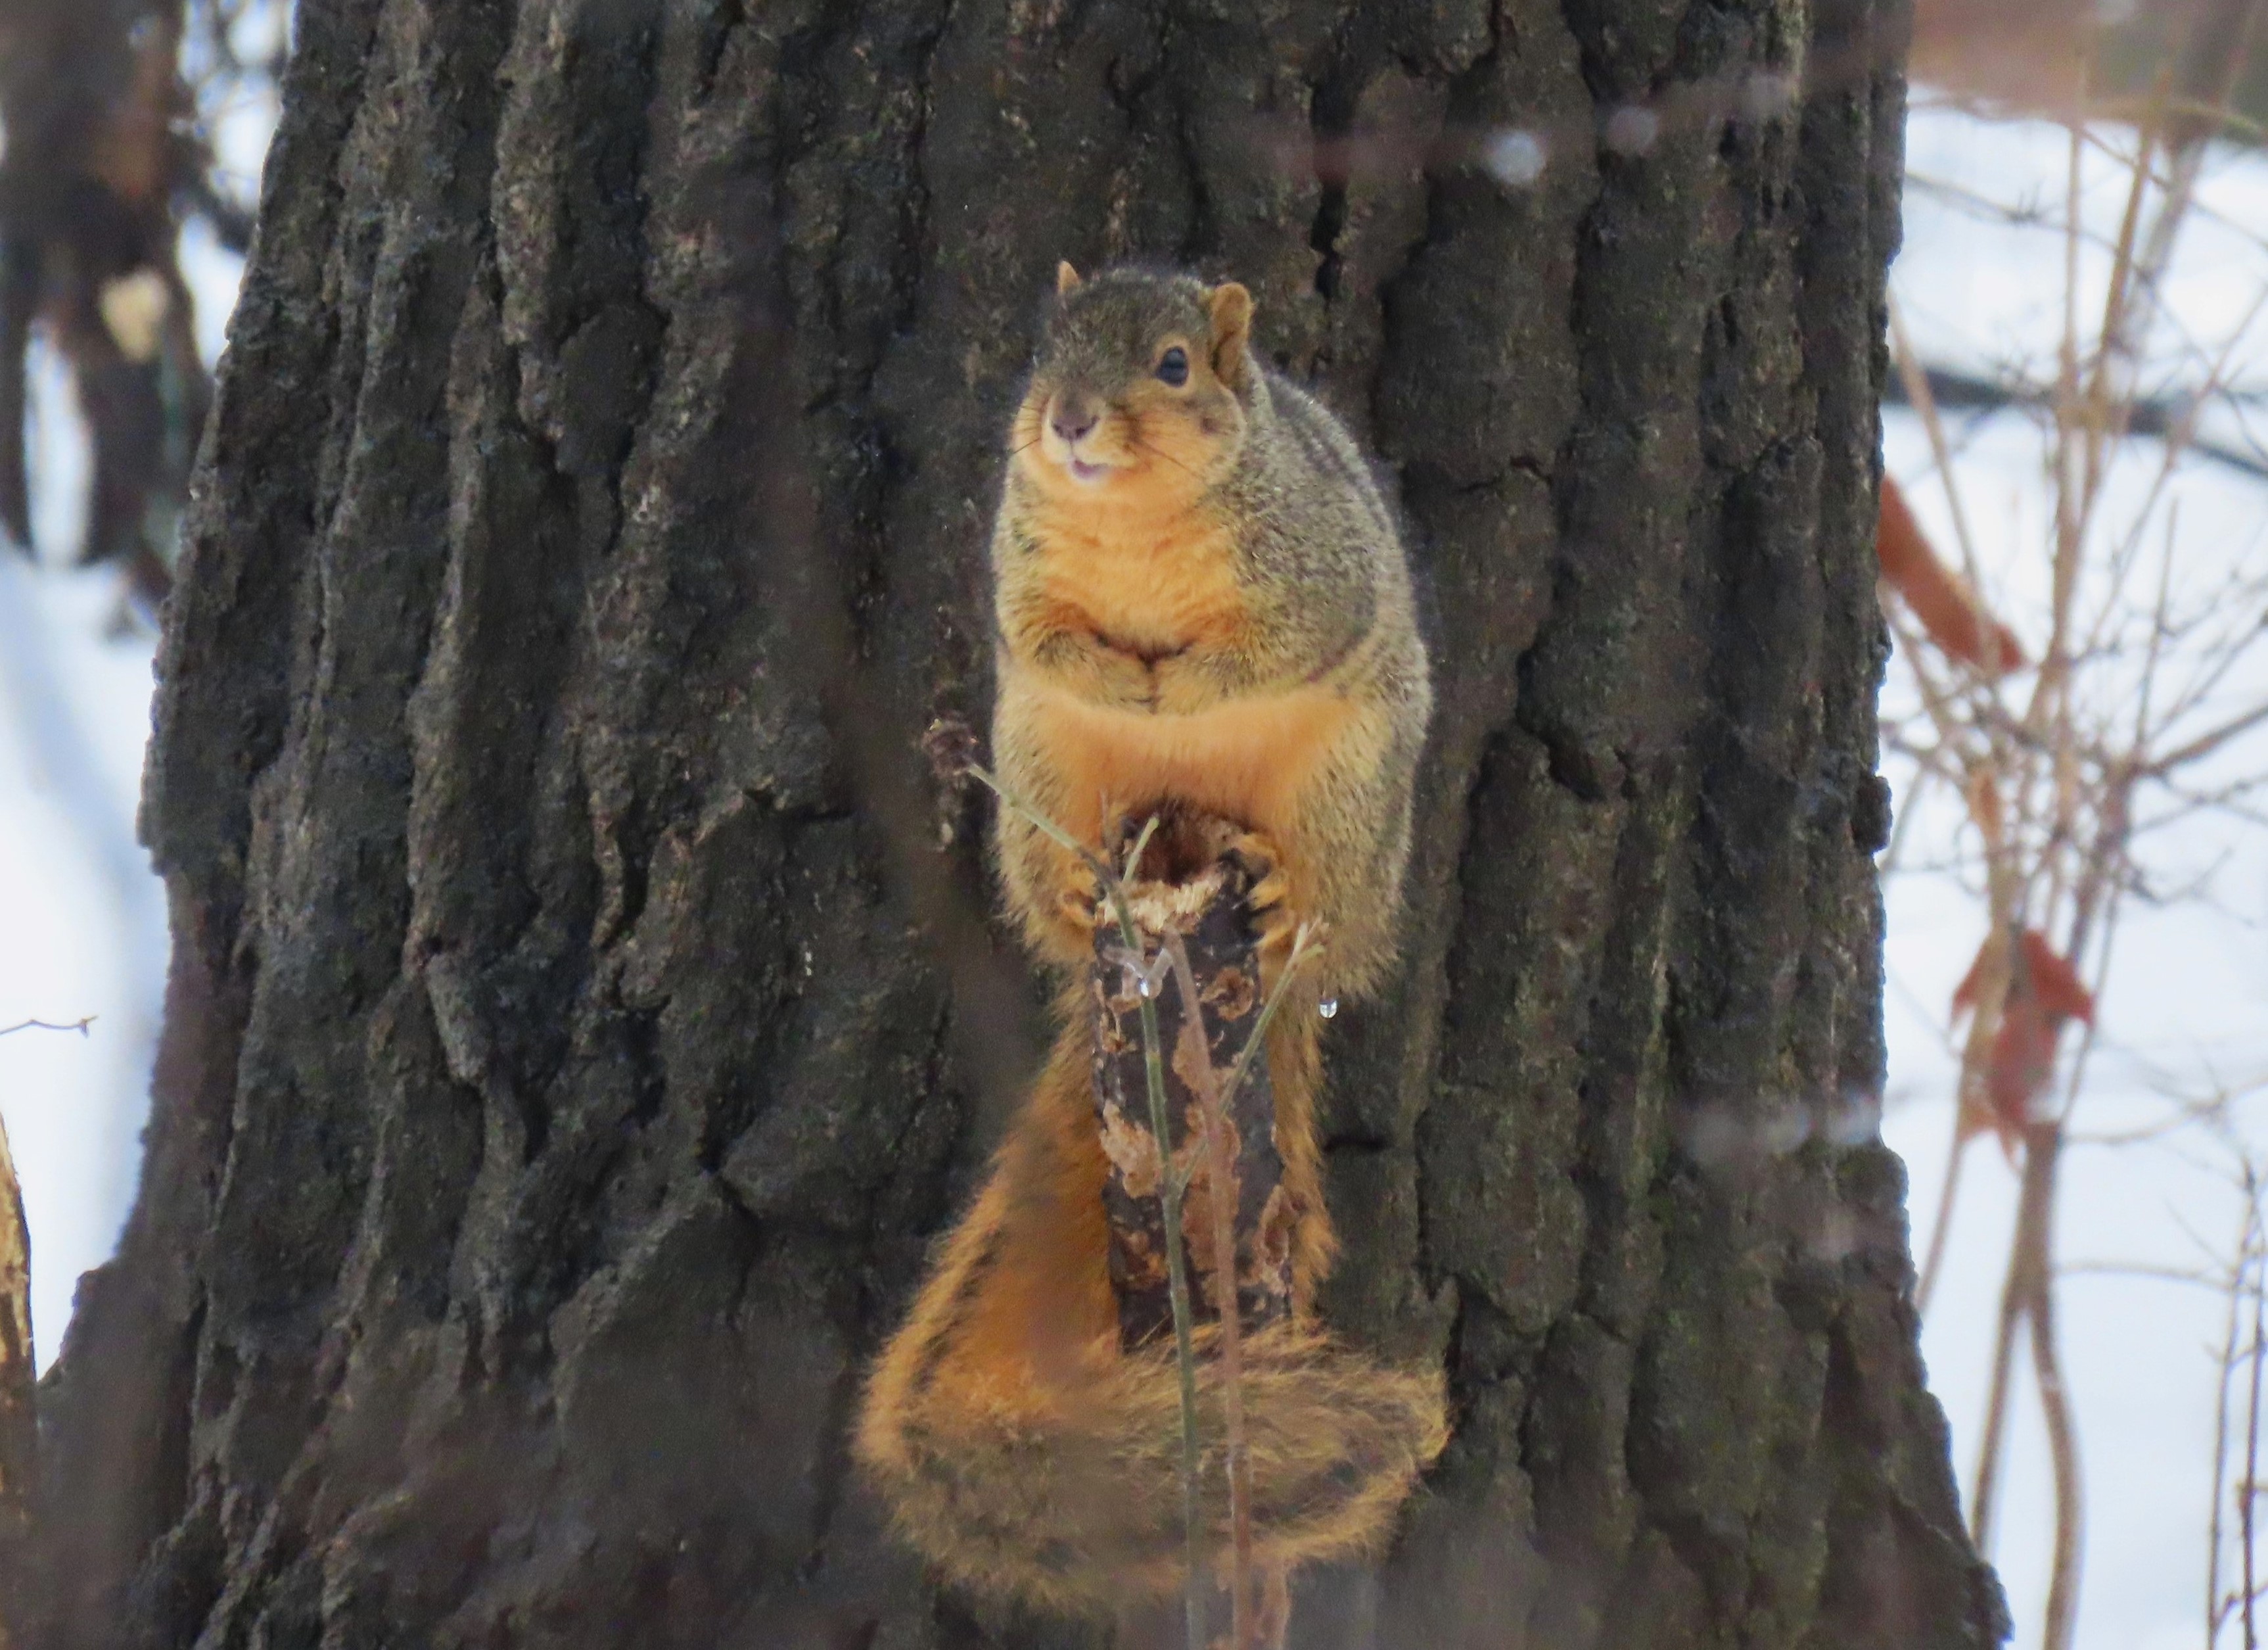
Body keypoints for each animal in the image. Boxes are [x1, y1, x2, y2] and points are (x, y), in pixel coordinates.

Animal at [854, 264, 1447, 1629]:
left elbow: (1260, 650)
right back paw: (1085, 893)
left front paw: (1177, 688)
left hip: (1347, 795)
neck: (1130, 516)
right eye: (1046, 347)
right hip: (1038, 768)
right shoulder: (1020, 574)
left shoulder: (1310, 571)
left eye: (1174, 365)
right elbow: (1044, 637)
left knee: (1320, 900)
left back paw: (1280, 895)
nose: (1068, 420)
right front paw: (1124, 680)